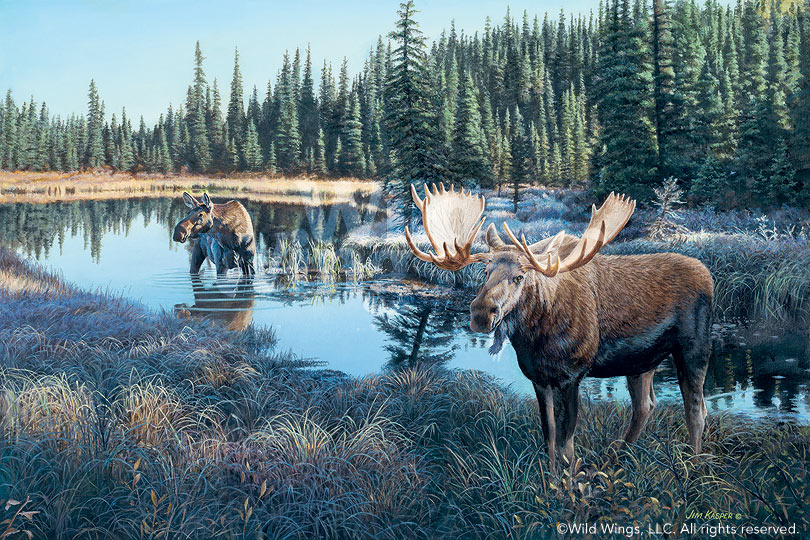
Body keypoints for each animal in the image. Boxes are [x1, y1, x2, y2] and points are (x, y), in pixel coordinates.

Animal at [403, 183, 713, 470]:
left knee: (696, 410)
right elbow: (549, 438)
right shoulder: (539, 379)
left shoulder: (571, 375)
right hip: (640, 362)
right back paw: (615, 459)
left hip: (693, 349)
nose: (481, 313)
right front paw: (550, 479)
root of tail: (708, 275)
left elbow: (567, 445)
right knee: (645, 407)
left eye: (519, 276)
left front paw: (568, 483)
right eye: (485, 271)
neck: (535, 339)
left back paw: (694, 468)